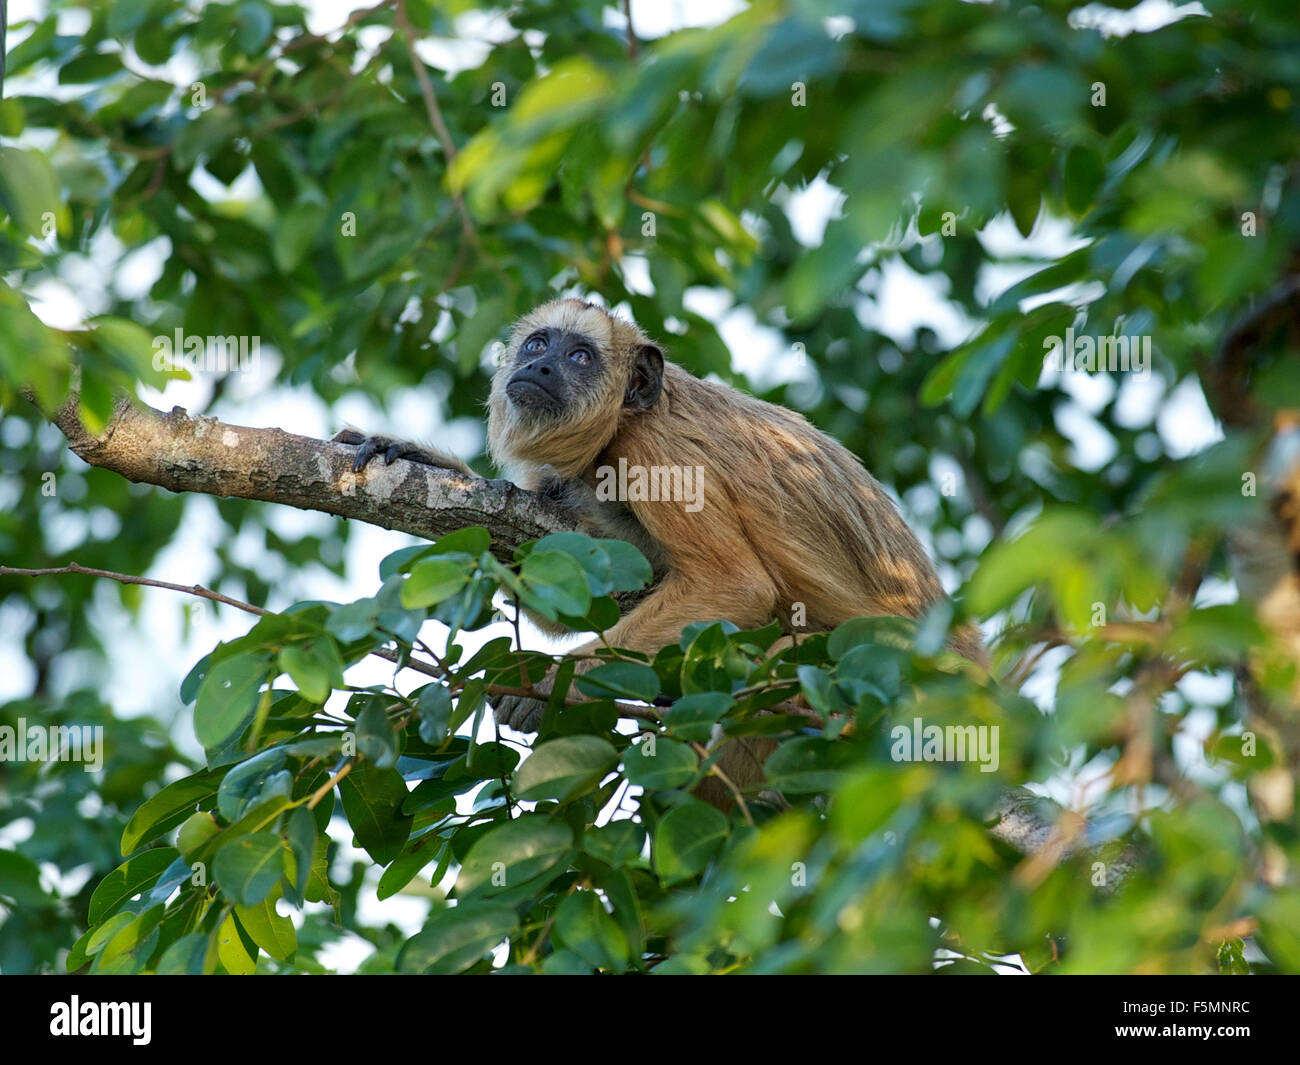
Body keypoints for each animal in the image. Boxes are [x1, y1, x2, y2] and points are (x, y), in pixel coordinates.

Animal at [336, 297, 983, 805]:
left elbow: (734, 586)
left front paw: (543, 682)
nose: (537, 364)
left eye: (579, 357)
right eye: (539, 344)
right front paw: (433, 465)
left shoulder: (656, 453)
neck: (619, 425)